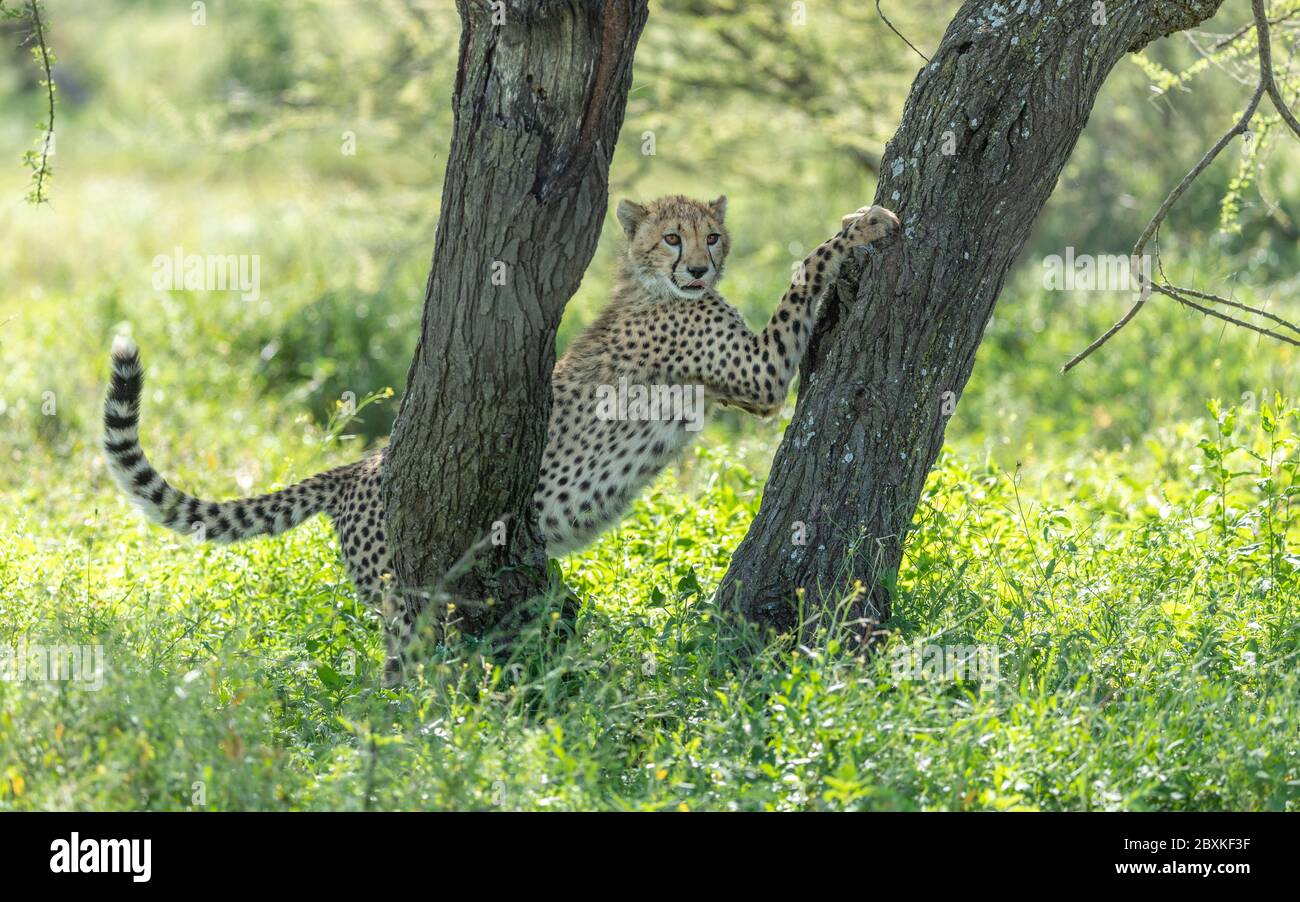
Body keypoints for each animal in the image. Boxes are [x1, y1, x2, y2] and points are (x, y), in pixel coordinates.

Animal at [103, 194, 899, 682]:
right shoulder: (758, 377)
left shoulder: (750, 382)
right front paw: (866, 223)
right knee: (397, 672)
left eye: (713, 235)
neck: (652, 285)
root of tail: (357, 464)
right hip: (407, 598)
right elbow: (803, 270)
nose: (701, 267)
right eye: (673, 237)